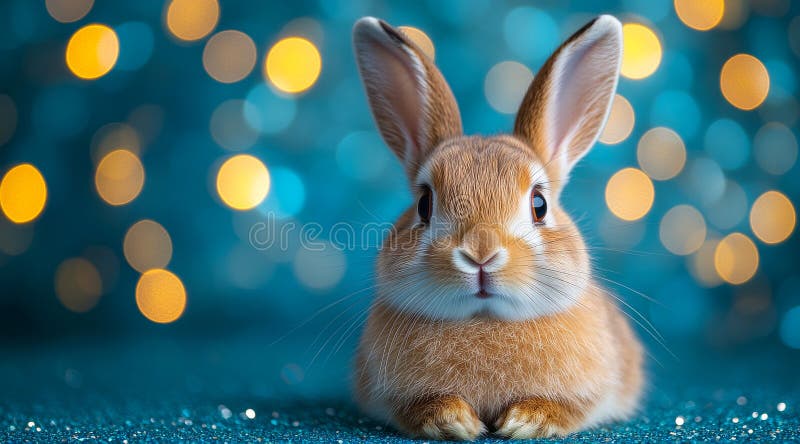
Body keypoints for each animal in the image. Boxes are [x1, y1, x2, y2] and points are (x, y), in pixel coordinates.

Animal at [351, 15, 643, 440]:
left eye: (539, 204)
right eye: (424, 204)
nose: (480, 254)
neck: (485, 320)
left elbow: (569, 410)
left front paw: (527, 420)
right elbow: (417, 409)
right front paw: (454, 420)